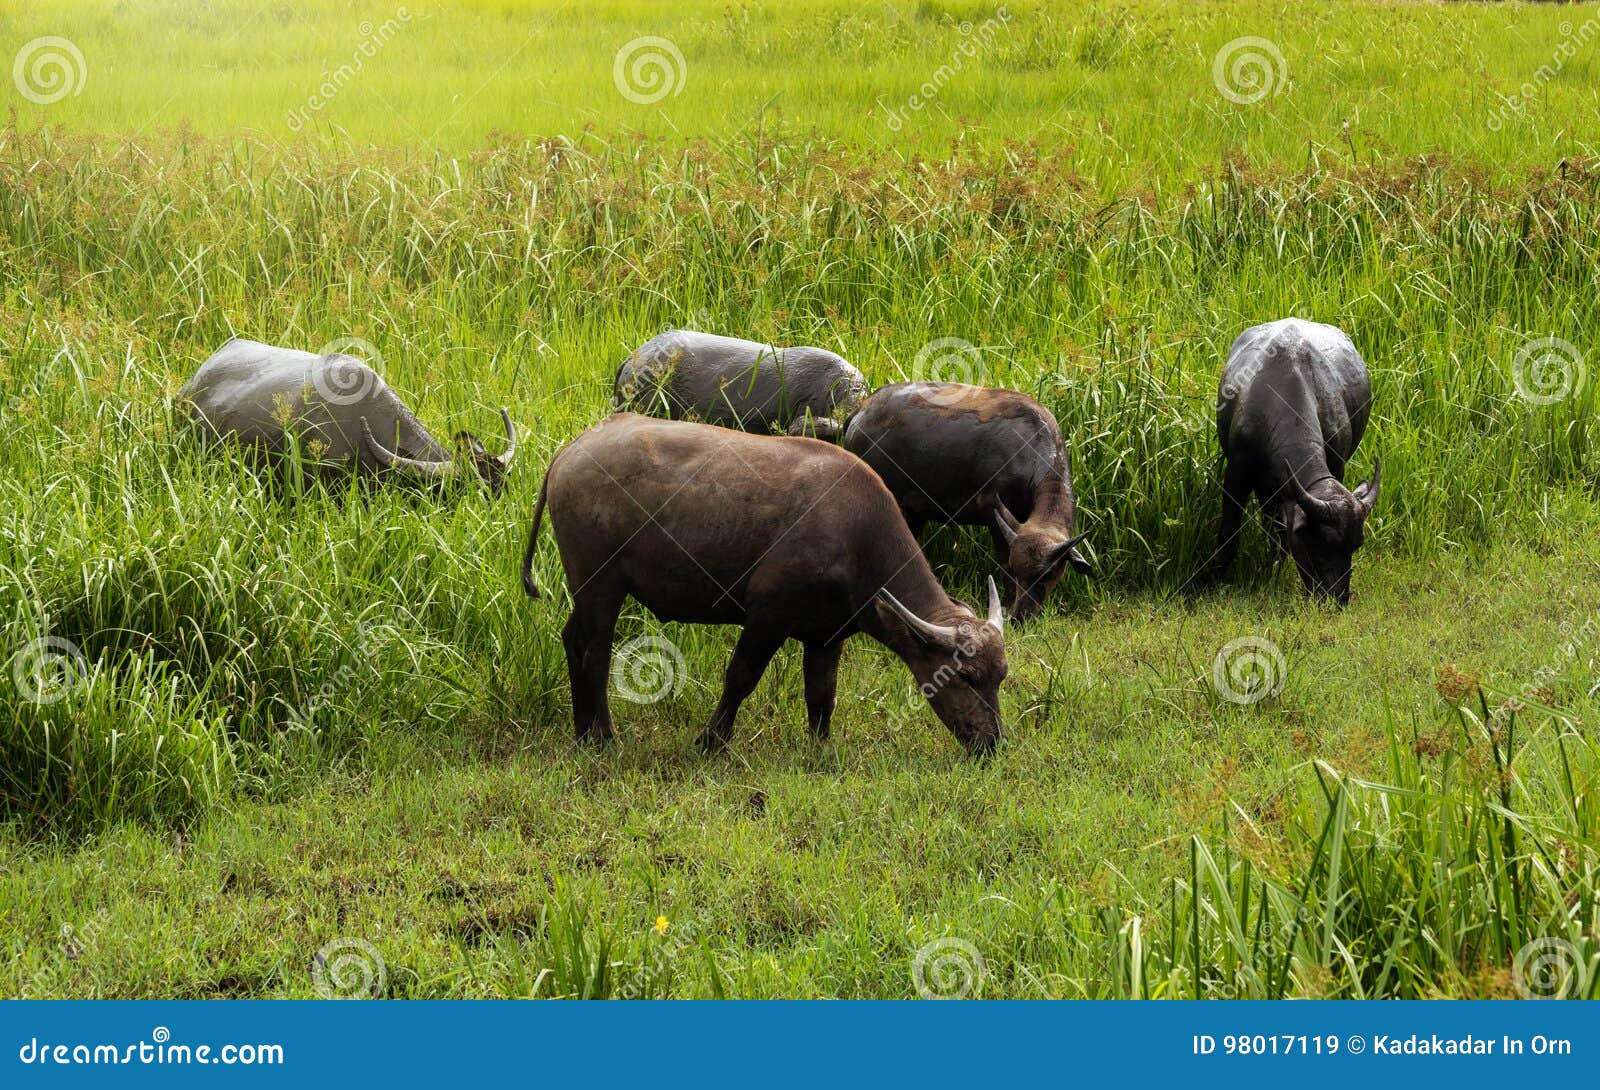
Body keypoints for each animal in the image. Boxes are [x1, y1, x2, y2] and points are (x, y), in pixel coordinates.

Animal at [521, 413, 1008, 753]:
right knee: (596, 652)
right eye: (964, 676)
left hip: (590, 590)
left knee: (573, 641)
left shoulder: (826, 637)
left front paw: (820, 747)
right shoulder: (767, 617)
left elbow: (822, 695)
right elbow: (740, 678)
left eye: (1000, 678)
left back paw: (583, 732)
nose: (992, 743)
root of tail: (570, 453)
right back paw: (603, 734)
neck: (856, 537)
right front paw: (711, 742)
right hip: (600, 585)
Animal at [841, 382, 1092, 622]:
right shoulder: (995, 515)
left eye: (1047, 575)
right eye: (1016, 570)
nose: (1021, 617)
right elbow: (1002, 562)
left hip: (913, 511)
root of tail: (860, 412)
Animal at [1212, 319, 1380, 604]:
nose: (1336, 599)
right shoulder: (1237, 474)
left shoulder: (1335, 465)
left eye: (1356, 545)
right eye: (1319, 543)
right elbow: (1229, 535)